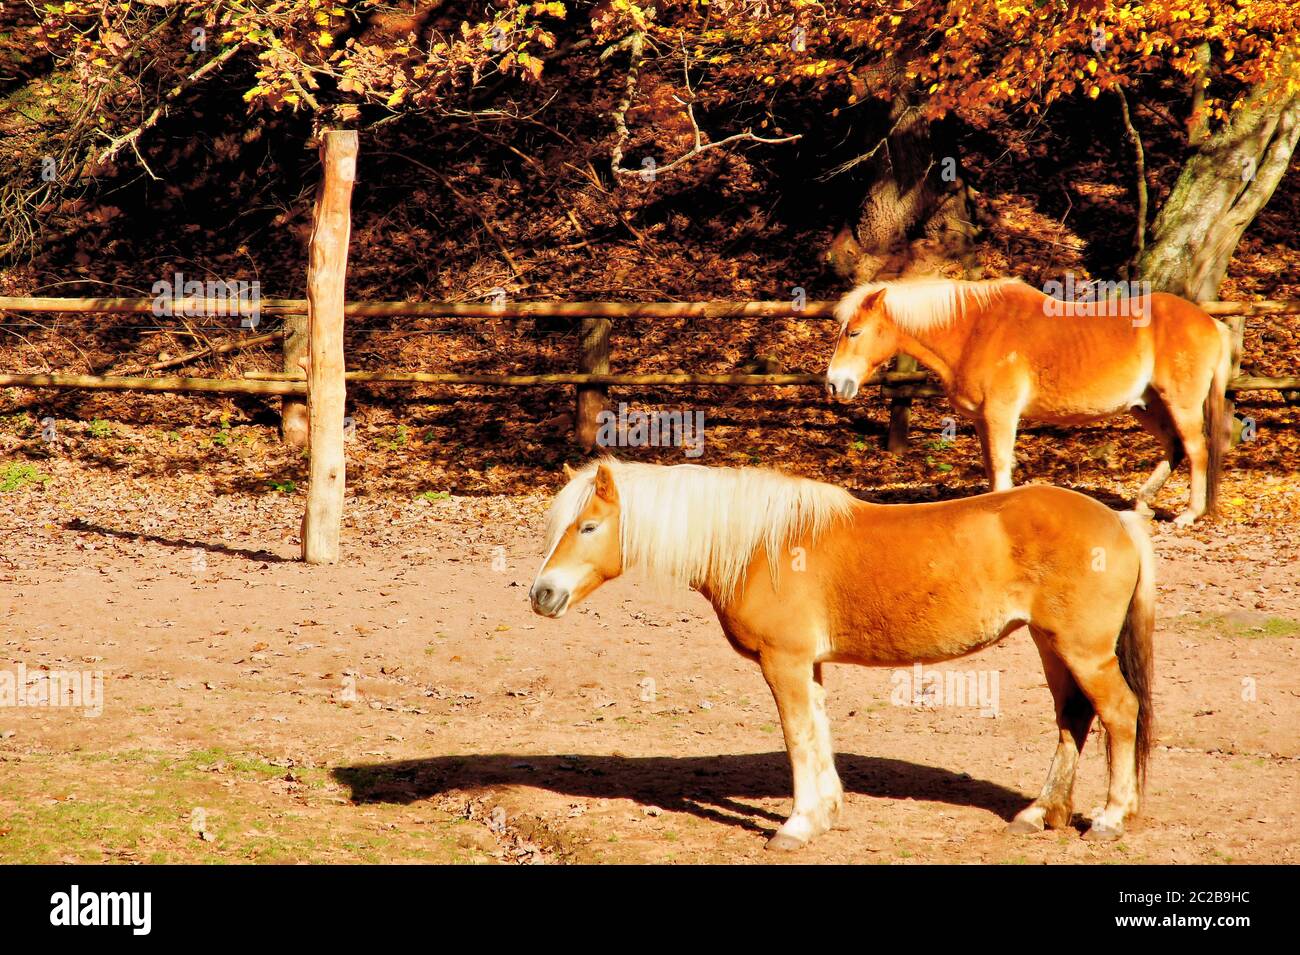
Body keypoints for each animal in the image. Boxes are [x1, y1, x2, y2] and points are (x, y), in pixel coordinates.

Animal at [530, 458, 1155, 850]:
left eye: (589, 526)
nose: (542, 594)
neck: (763, 546)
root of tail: (1119, 520)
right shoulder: (809, 664)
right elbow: (818, 731)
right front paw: (826, 812)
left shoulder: (784, 662)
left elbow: (796, 736)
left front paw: (796, 825)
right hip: (1052, 645)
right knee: (1073, 718)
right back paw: (1039, 814)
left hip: (1083, 651)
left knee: (1120, 713)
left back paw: (1110, 818)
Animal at [825, 278, 1234, 525]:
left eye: (854, 332)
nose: (834, 384)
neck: (975, 330)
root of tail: (1211, 323)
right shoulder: (983, 419)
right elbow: (992, 468)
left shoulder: (1001, 415)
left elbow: (1001, 468)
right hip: (1146, 405)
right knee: (1174, 447)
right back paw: (1143, 502)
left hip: (1180, 404)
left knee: (1196, 450)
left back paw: (1188, 514)